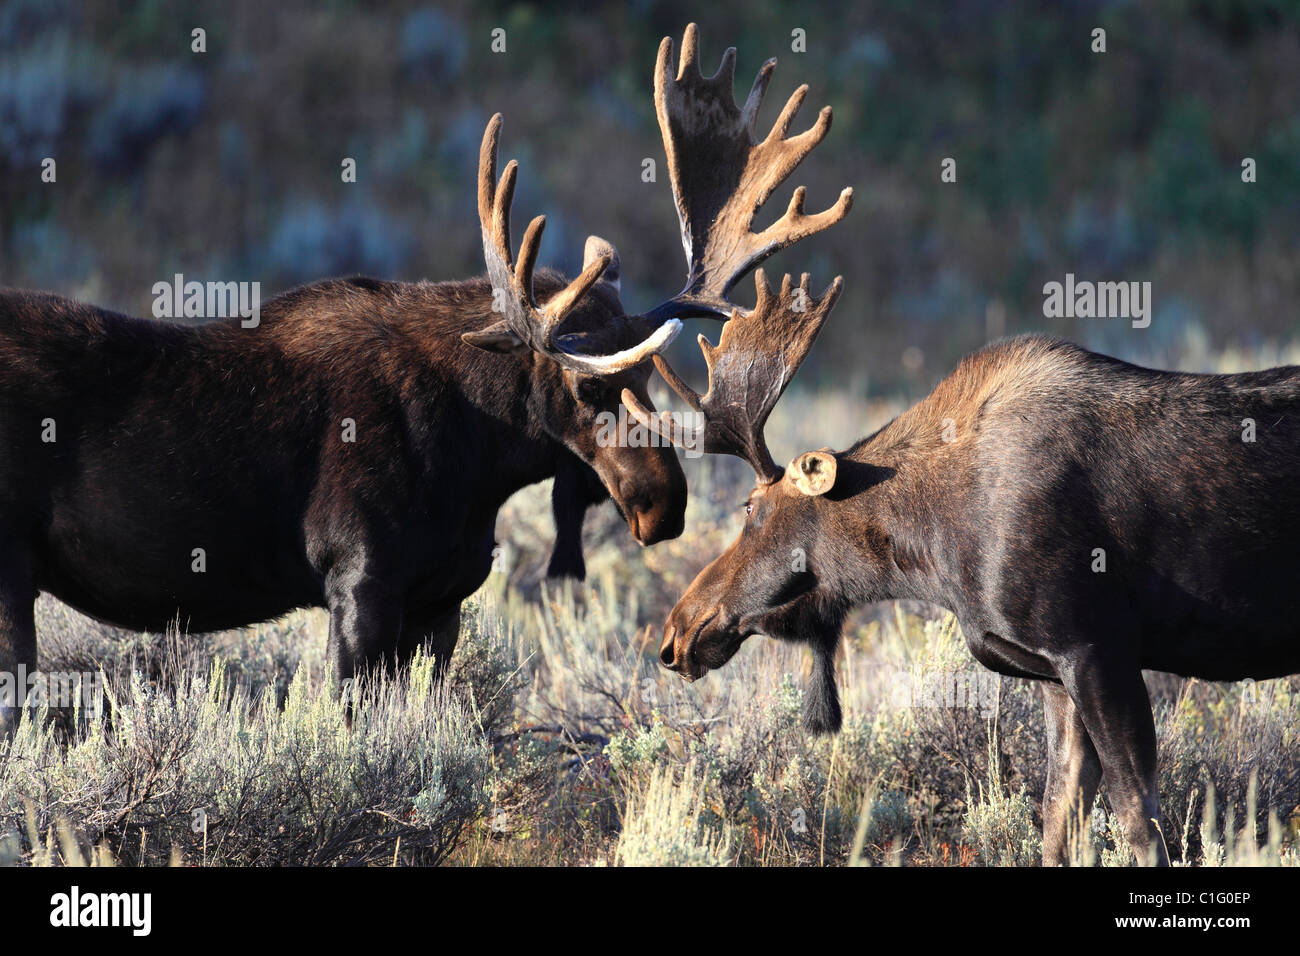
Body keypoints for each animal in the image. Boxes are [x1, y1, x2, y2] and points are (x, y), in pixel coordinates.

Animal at [0, 24, 851, 733]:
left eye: (654, 373)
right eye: (588, 388)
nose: (661, 505)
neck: (478, 465)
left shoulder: (443, 598)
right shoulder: (359, 579)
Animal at [624, 32, 1300, 869]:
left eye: (751, 510)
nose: (676, 633)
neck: (936, 551)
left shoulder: (1096, 646)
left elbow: (1140, 821)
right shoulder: (1052, 672)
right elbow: (1057, 820)